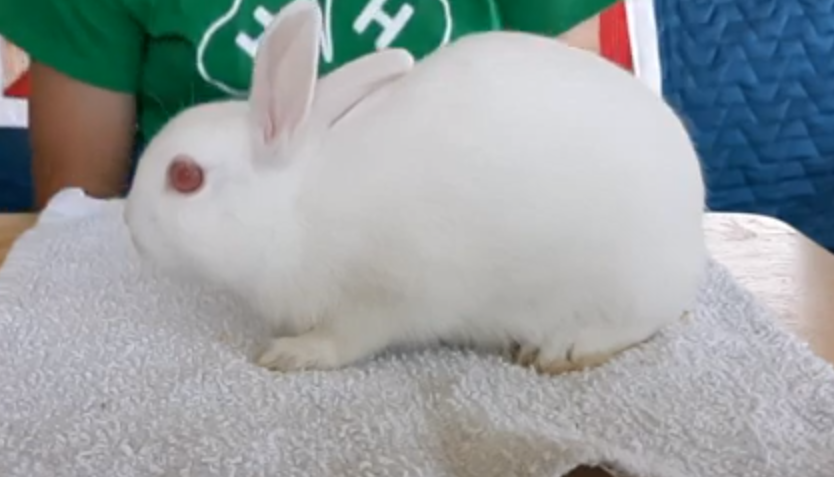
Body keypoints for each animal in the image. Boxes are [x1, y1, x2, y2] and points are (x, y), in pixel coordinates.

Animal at [123, 0, 707, 375]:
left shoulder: (384, 298)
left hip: (626, 283)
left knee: (638, 324)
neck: (294, 211)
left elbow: (347, 341)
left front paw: (290, 354)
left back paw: (562, 349)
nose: (129, 225)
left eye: (185, 177)